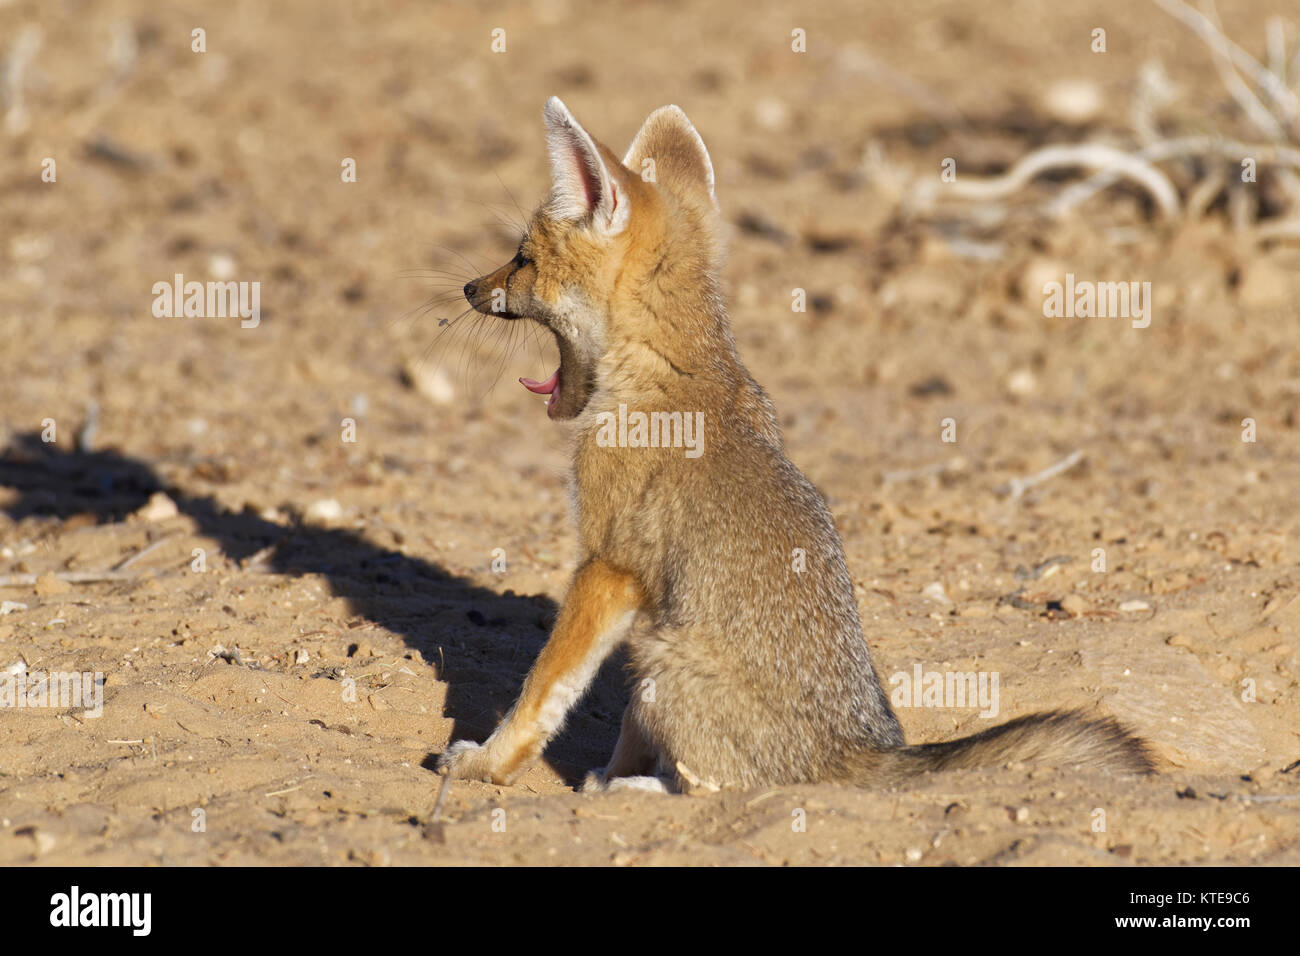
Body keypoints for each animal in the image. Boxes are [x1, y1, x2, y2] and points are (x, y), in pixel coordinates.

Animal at [436, 97, 1154, 792]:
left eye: (522, 257)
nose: (469, 288)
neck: (674, 371)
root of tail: (862, 747)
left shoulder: (606, 565)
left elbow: (543, 689)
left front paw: (488, 764)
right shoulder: (648, 593)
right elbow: (628, 727)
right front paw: (607, 774)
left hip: (659, 654)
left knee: (720, 787)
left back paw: (645, 793)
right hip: (658, 643)